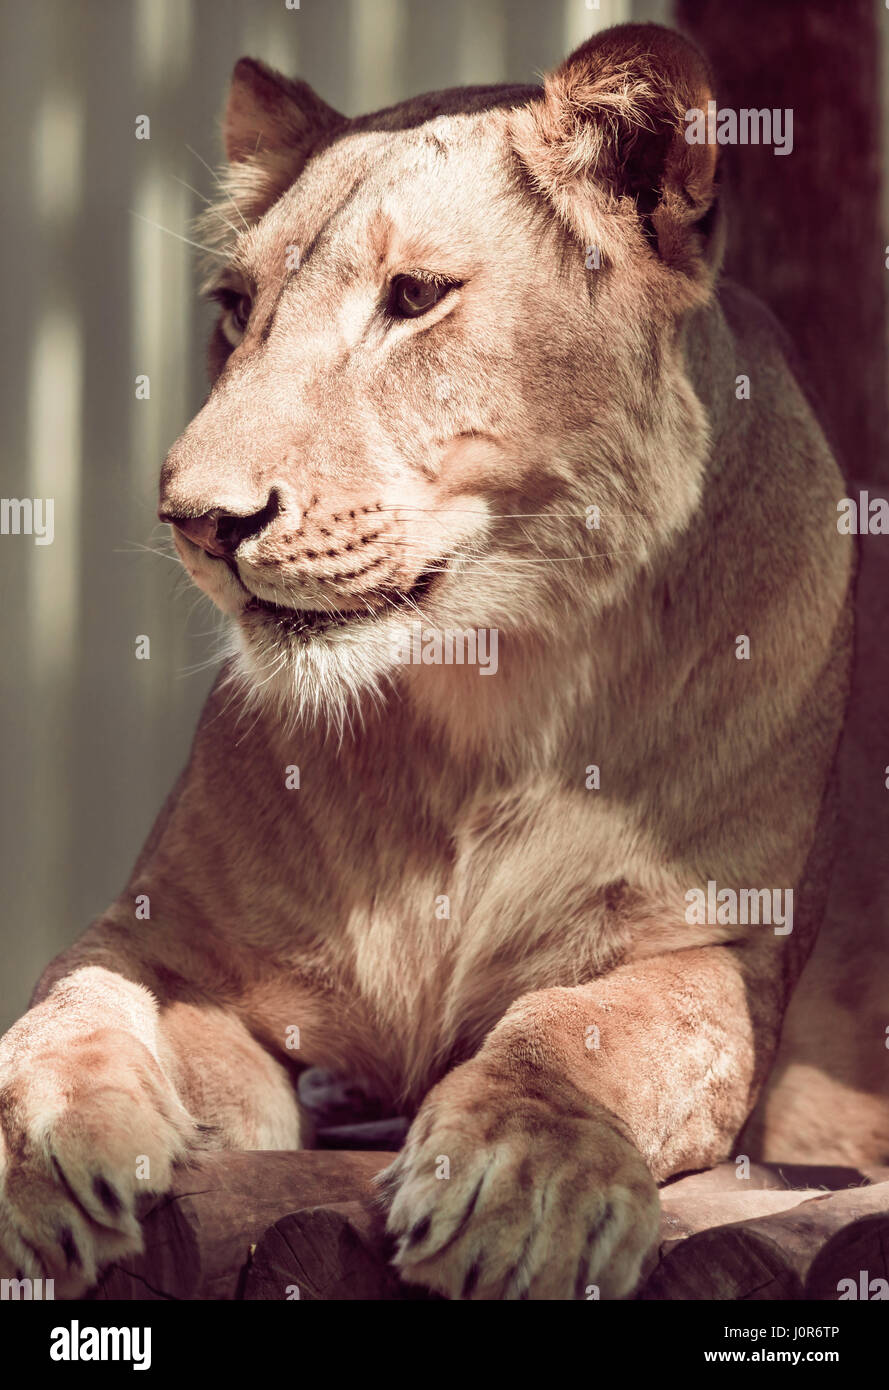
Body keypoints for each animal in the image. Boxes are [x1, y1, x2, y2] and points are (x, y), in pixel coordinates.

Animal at [0, 23, 860, 1300]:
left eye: (411, 299)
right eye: (234, 306)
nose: (197, 521)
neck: (484, 701)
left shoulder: (713, 952)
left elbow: (582, 1032)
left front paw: (515, 1181)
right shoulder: (162, 933)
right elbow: (76, 996)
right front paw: (47, 1138)